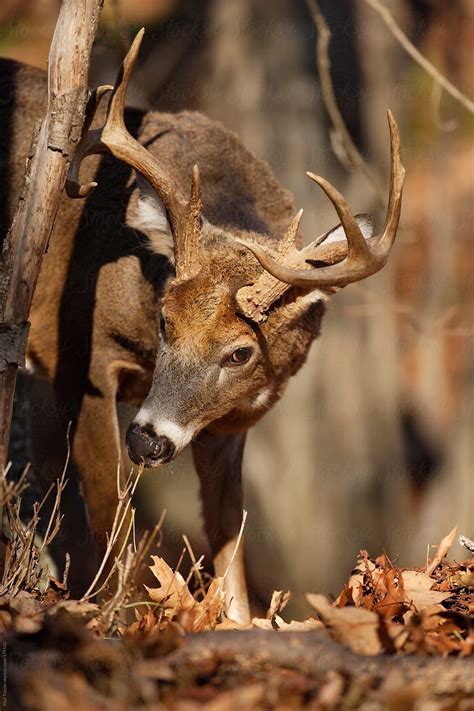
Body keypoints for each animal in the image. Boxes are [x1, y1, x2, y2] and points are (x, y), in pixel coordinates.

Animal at [1, 30, 404, 624]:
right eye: (165, 320)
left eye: (241, 353)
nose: (147, 441)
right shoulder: (83, 360)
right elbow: (114, 523)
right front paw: (118, 620)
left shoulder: (232, 423)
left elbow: (229, 543)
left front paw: (237, 623)